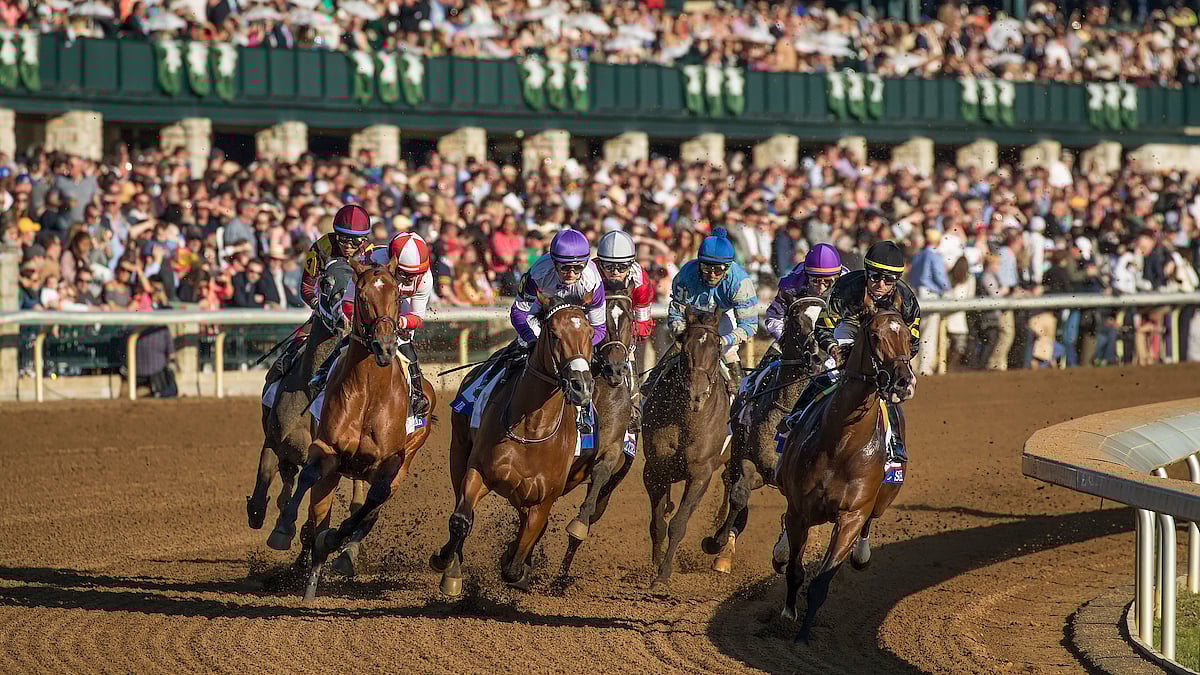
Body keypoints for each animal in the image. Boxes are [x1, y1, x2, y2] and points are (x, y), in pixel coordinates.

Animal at [265, 254, 436, 602]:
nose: (384, 347)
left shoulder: (389, 463)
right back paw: (310, 579)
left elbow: (370, 505)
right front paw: (284, 529)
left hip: (403, 461)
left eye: (396, 297)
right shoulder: (325, 449)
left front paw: (337, 544)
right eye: (362, 297)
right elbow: (308, 482)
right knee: (318, 509)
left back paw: (342, 554)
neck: (369, 392)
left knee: (370, 510)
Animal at [430, 302, 595, 595]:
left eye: (589, 333)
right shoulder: (480, 471)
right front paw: (445, 563)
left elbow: (518, 558)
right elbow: (461, 520)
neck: (532, 429)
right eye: (554, 334)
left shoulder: (543, 498)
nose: (581, 386)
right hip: (458, 450)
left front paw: (517, 565)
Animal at [641, 308, 731, 592]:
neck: (686, 419)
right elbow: (658, 524)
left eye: (717, 348)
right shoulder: (654, 469)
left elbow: (679, 525)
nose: (697, 395)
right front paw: (653, 567)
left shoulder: (701, 474)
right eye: (685, 347)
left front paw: (663, 576)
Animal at [703, 296, 826, 573]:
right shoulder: (749, 457)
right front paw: (716, 543)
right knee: (731, 482)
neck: (788, 413)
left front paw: (784, 555)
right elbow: (739, 495)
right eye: (796, 320)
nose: (816, 358)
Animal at [775, 302, 915, 643]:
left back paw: (861, 555)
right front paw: (788, 615)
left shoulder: (851, 516)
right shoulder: (800, 511)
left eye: (908, 337)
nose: (903, 382)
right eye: (875, 336)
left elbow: (821, 583)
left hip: (883, 498)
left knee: (871, 520)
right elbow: (795, 570)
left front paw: (803, 638)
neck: (841, 444)